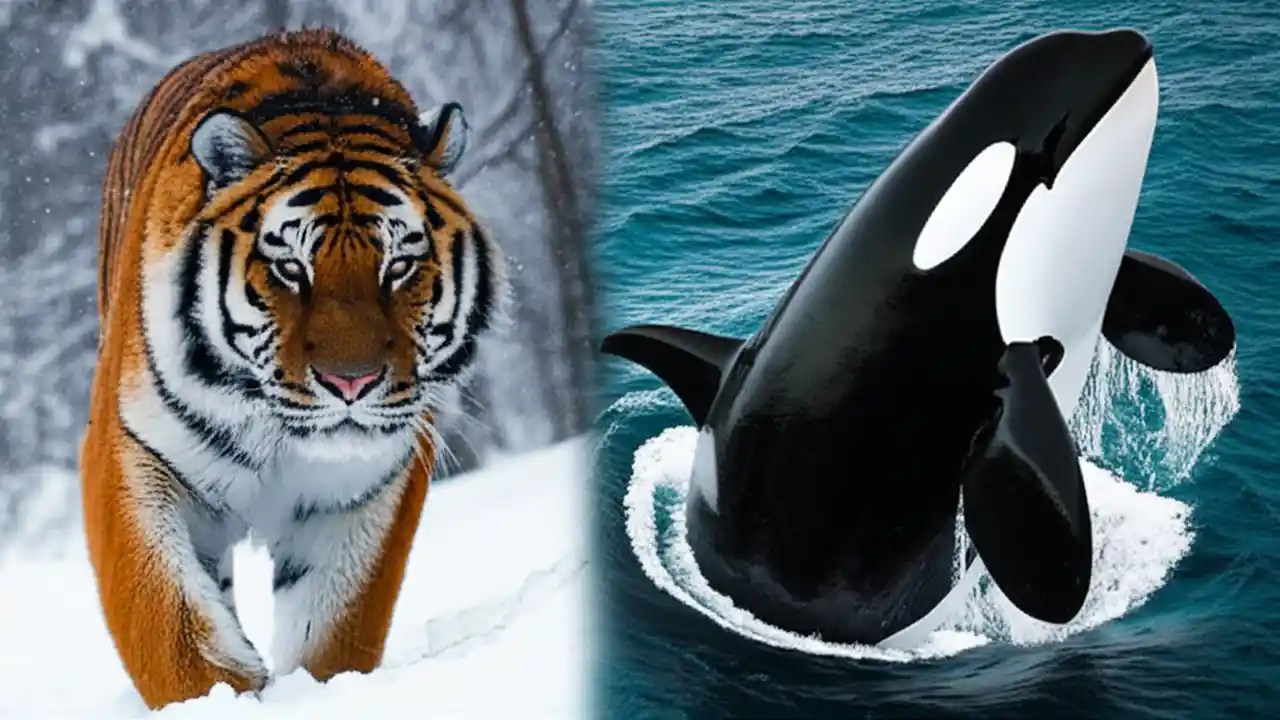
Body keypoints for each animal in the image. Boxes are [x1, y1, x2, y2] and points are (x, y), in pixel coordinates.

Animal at [81, 28, 504, 709]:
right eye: (290, 268)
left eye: (398, 266)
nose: (351, 383)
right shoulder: (131, 448)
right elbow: (167, 624)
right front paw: (221, 695)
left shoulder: (369, 485)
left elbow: (335, 625)